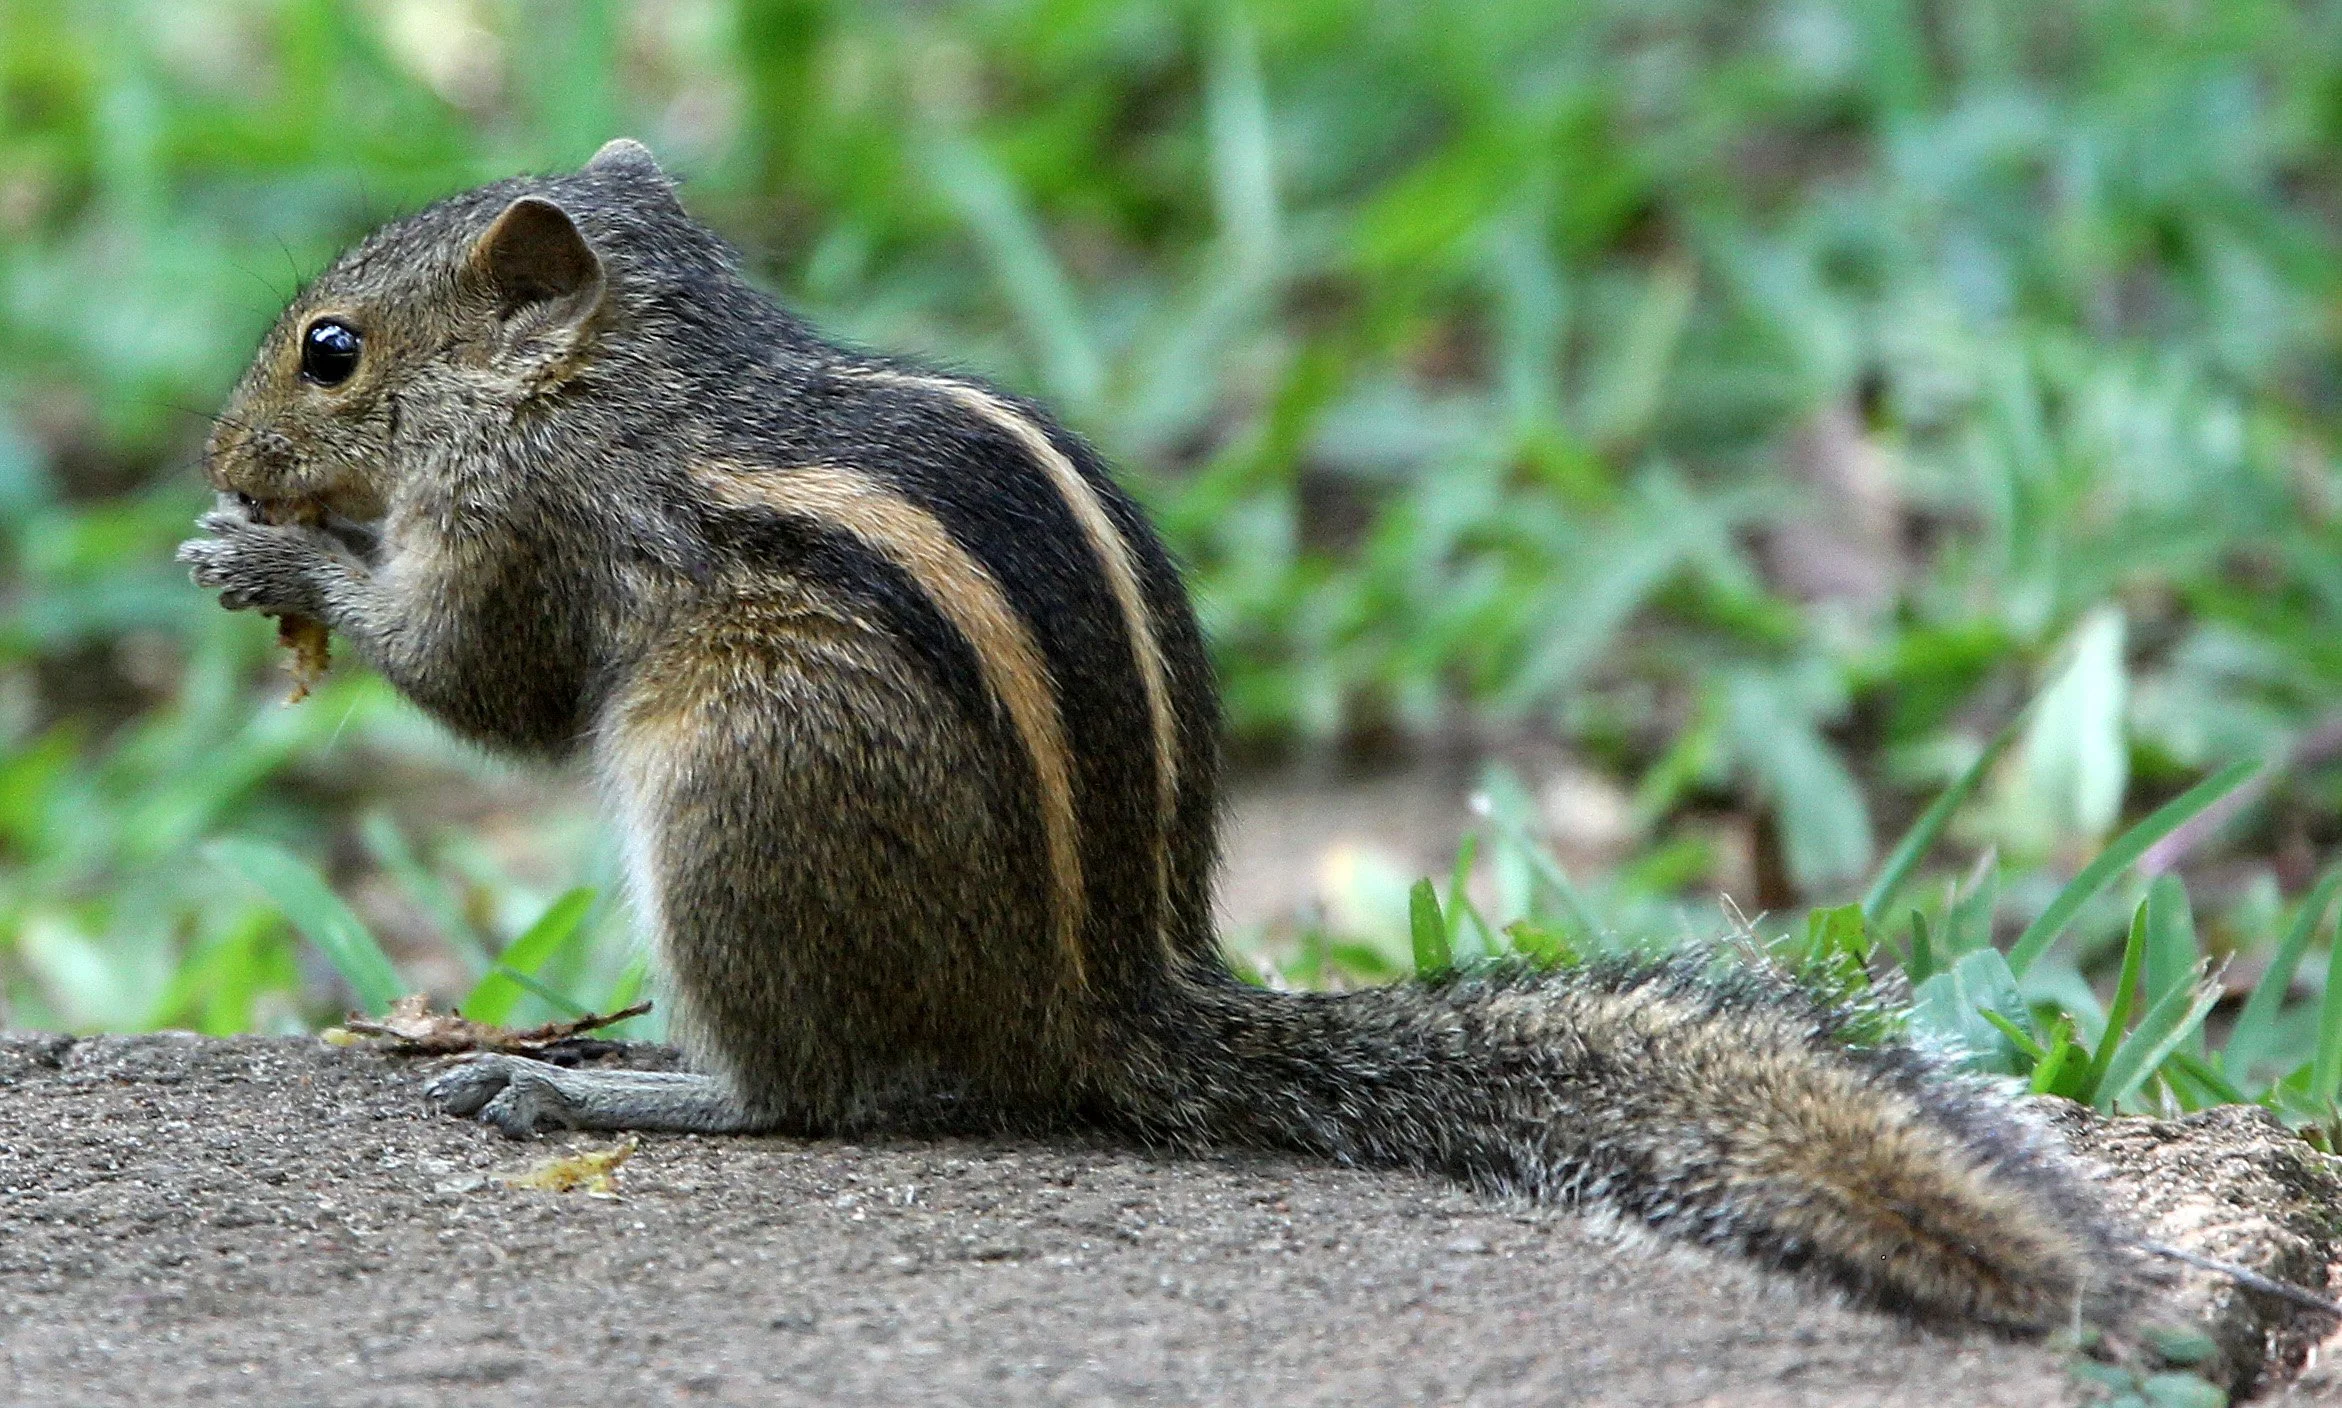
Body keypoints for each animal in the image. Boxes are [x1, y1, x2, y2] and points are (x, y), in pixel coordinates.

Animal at [179, 138, 2144, 1337]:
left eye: (332, 351)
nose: (217, 454)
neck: (635, 371)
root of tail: (1104, 998)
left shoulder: (535, 523)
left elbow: (480, 678)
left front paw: (270, 558)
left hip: (738, 789)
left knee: (800, 1096)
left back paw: (583, 1083)